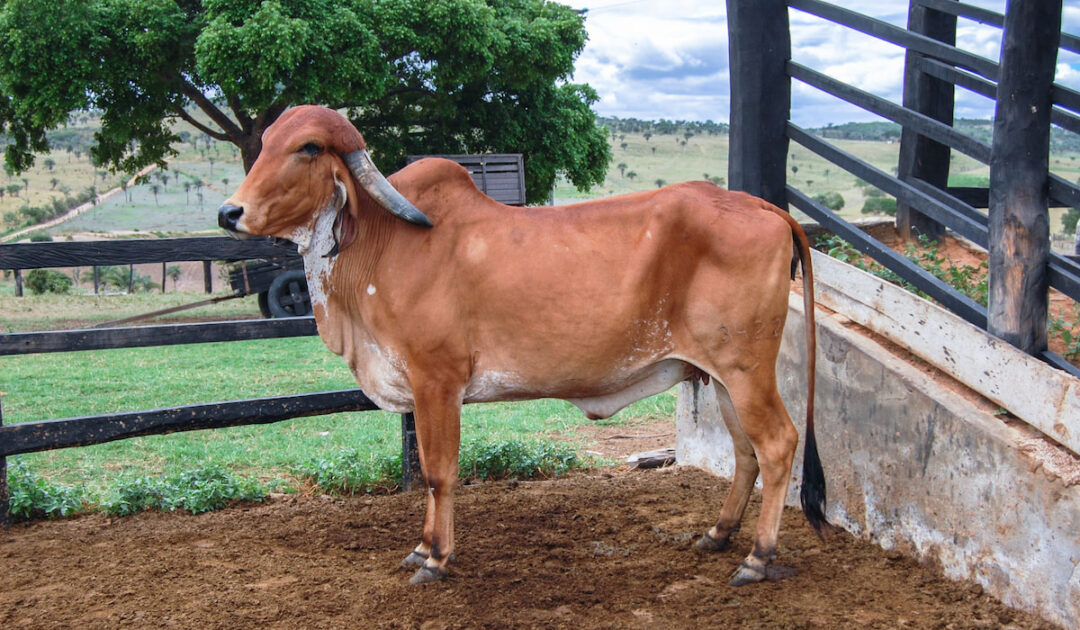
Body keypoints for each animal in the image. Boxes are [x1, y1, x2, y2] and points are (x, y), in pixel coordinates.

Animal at [218, 105, 828, 586]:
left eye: (308, 147)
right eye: (265, 143)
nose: (229, 212)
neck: (380, 244)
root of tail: (766, 207)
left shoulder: (436, 380)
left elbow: (439, 472)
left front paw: (435, 558)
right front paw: (421, 548)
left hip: (747, 369)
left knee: (778, 445)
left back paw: (757, 557)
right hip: (722, 375)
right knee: (746, 453)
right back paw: (718, 534)